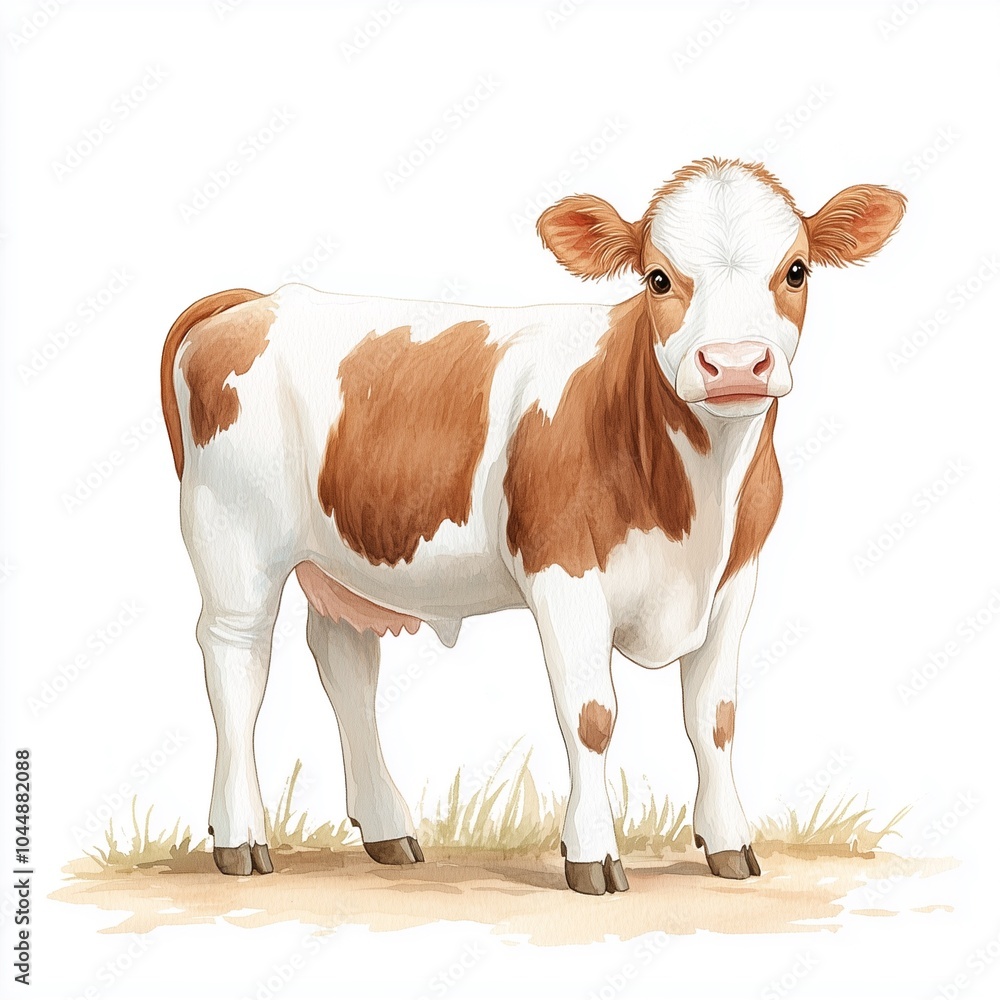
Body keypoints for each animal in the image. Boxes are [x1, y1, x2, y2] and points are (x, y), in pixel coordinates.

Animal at [160, 157, 905, 895]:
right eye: (658, 277)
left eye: (797, 270)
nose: (734, 365)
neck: (695, 506)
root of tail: (259, 301)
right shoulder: (563, 570)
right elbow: (591, 716)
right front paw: (592, 854)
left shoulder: (735, 578)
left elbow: (713, 718)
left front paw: (729, 845)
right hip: (235, 541)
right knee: (237, 664)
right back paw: (241, 837)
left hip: (340, 559)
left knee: (346, 667)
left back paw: (387, 831)